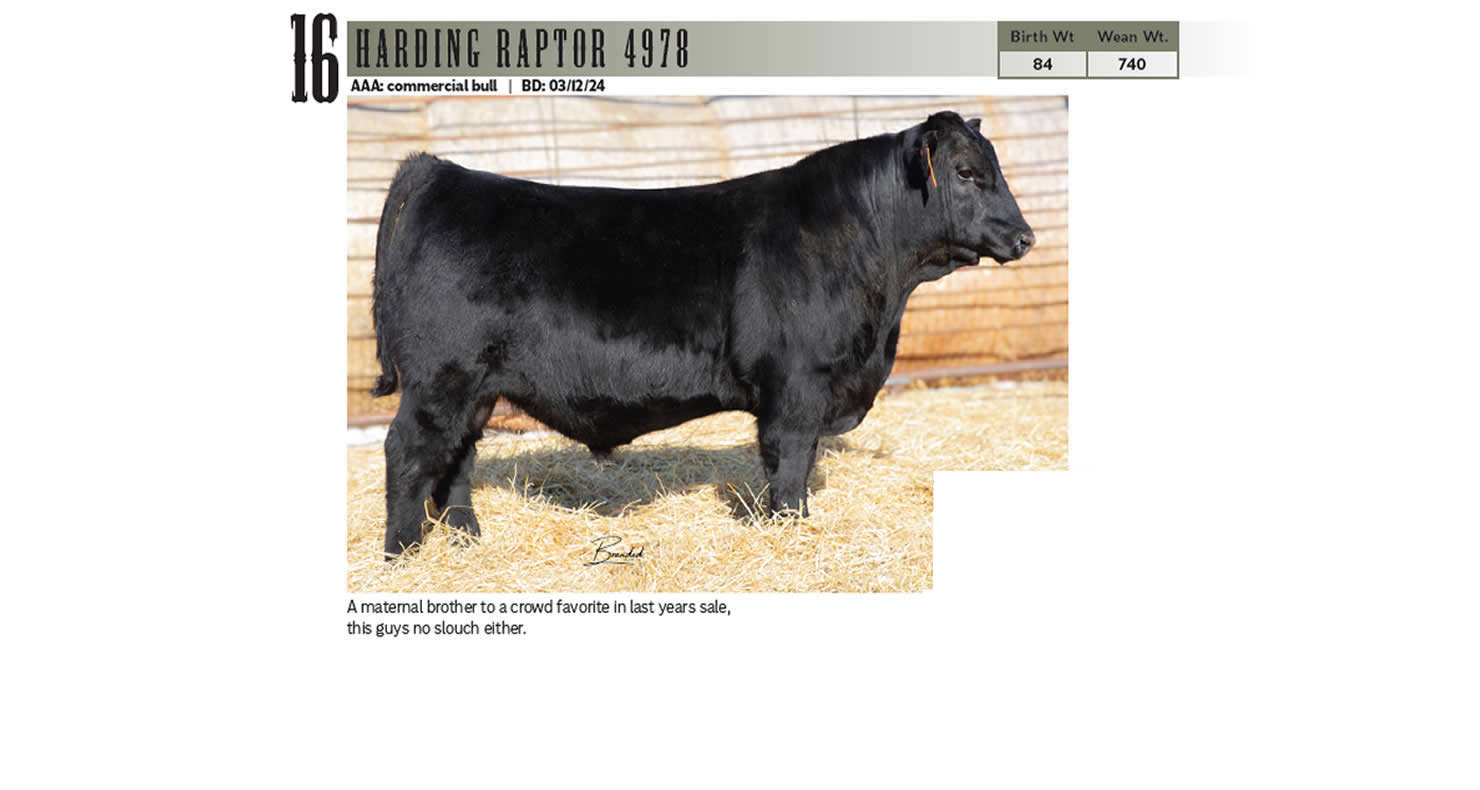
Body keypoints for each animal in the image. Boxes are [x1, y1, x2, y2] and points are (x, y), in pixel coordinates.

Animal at [370, 111, 1034, 558]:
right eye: (967, 172)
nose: (1026, 237)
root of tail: (441, 172)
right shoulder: (798, 386)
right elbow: (789, 464)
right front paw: (792, 530)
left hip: (475, 387)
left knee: (456, 459)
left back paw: (467, 539)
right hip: (440, 377)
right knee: (410, 451)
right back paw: (403, 554)